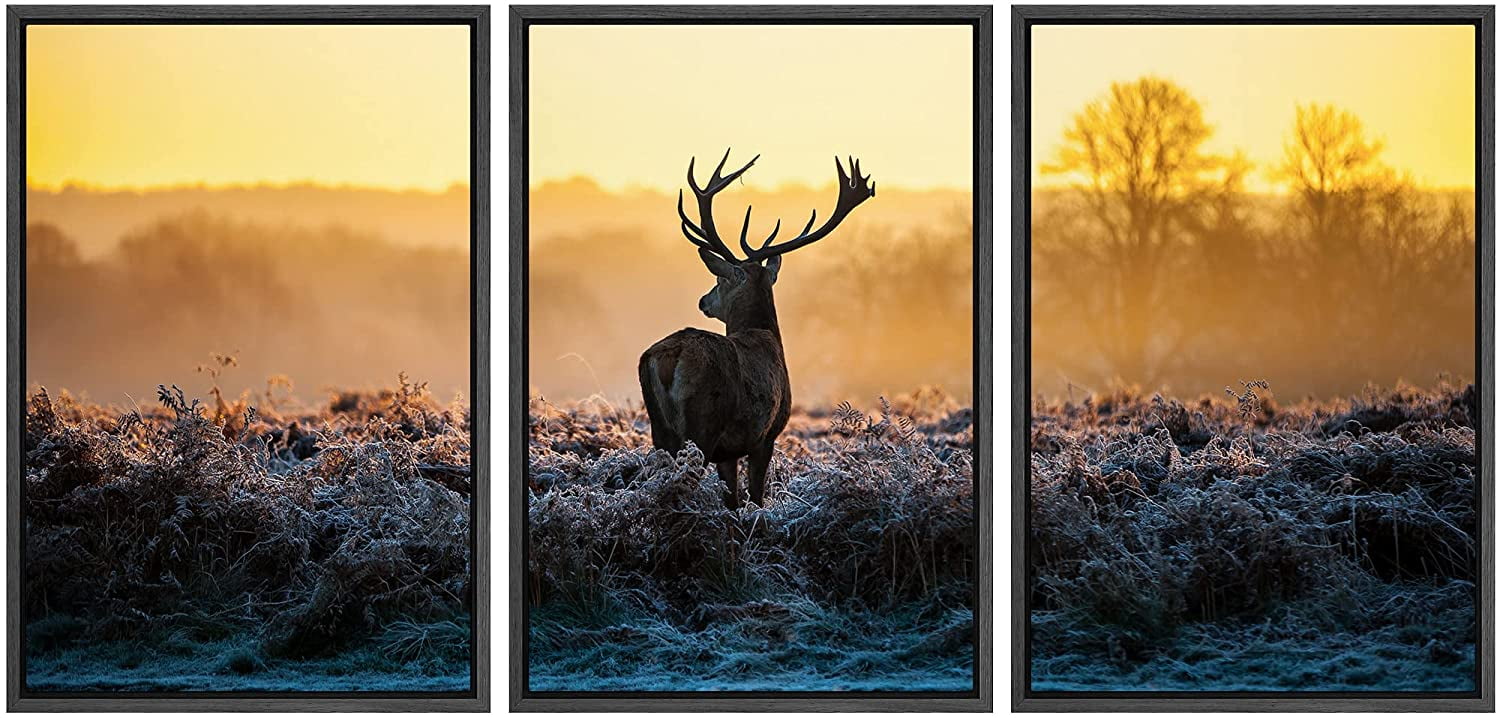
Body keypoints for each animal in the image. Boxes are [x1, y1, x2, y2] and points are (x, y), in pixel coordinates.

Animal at [638, 150, 875, 509]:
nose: (703, 301)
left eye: (719, 279)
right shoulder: (765, 435)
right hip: (702, 424)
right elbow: (756, 498)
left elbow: (733, 499)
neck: (765, 334)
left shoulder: (729, 451)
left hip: (660, 429)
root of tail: (669, 357)